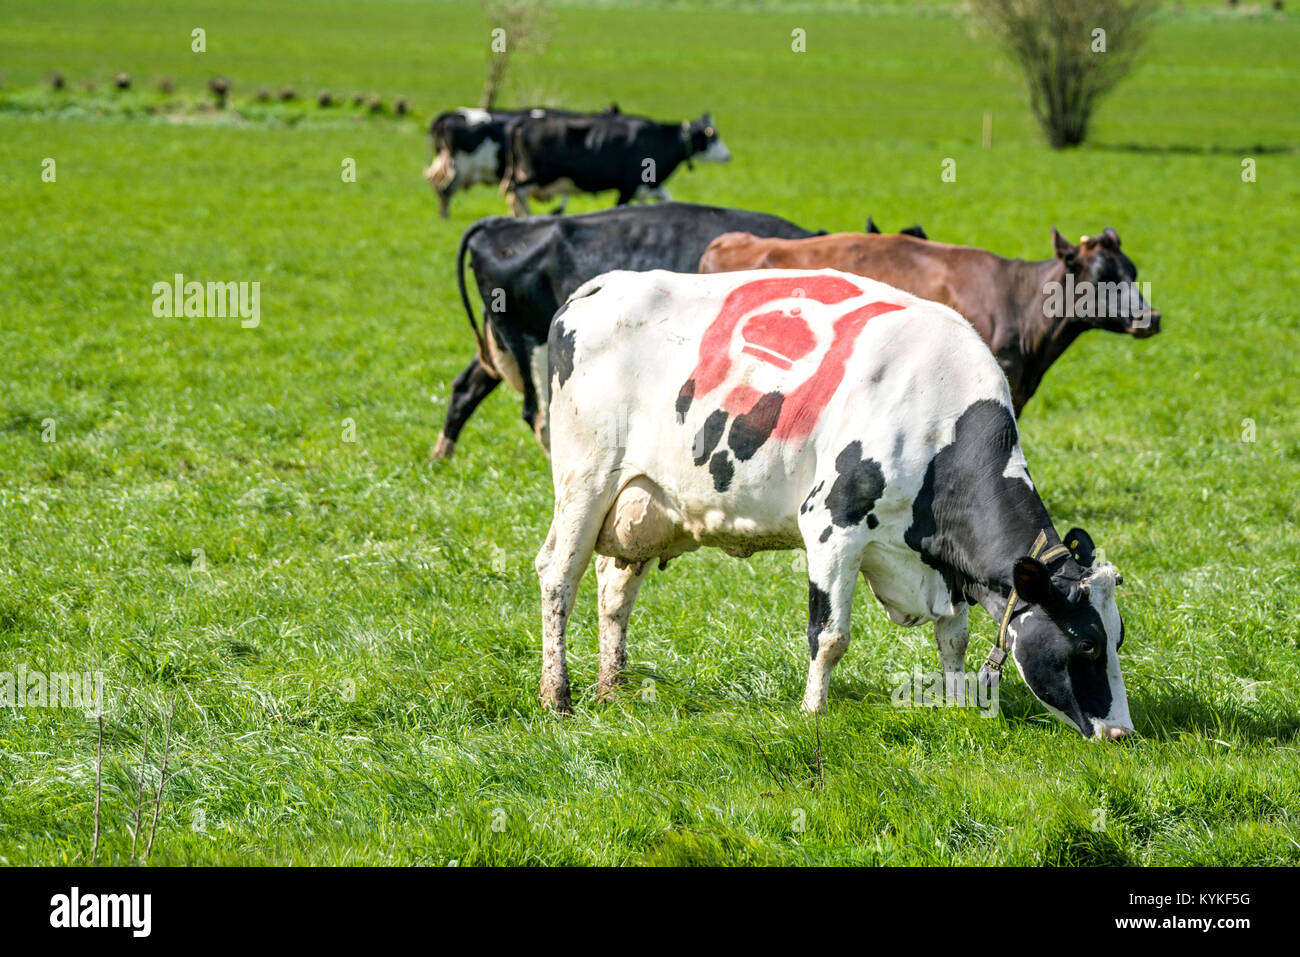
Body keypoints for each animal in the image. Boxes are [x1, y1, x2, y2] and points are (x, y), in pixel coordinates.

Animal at [432, 202, 818, 461]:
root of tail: (499, 224)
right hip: (533, 347)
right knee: (539, 416)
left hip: (500, 344)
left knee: (465, 387)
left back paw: (441, 457)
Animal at [500, 110, 731, 216]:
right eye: (713, 136)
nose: (729, 156)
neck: (661, 138)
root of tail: (523, 121)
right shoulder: (628, 185)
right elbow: (621, 206)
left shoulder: (647, 186)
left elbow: (665, 199)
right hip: (538, 175)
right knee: (515, 191)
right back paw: (528, 217)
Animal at [536, 267, 1135, 740]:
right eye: (1087, 645)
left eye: (1120, 637)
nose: (1122, 733)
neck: (941, 422)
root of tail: (603, 284)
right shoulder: (831, 525)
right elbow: (829, 637)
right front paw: (812, 712)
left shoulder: (943, 560)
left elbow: (955, 638)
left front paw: (957, 706)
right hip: (584, 479)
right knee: (558, 576)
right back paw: (557, 697)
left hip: (641, 507)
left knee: (614, 591)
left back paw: (612, 689)